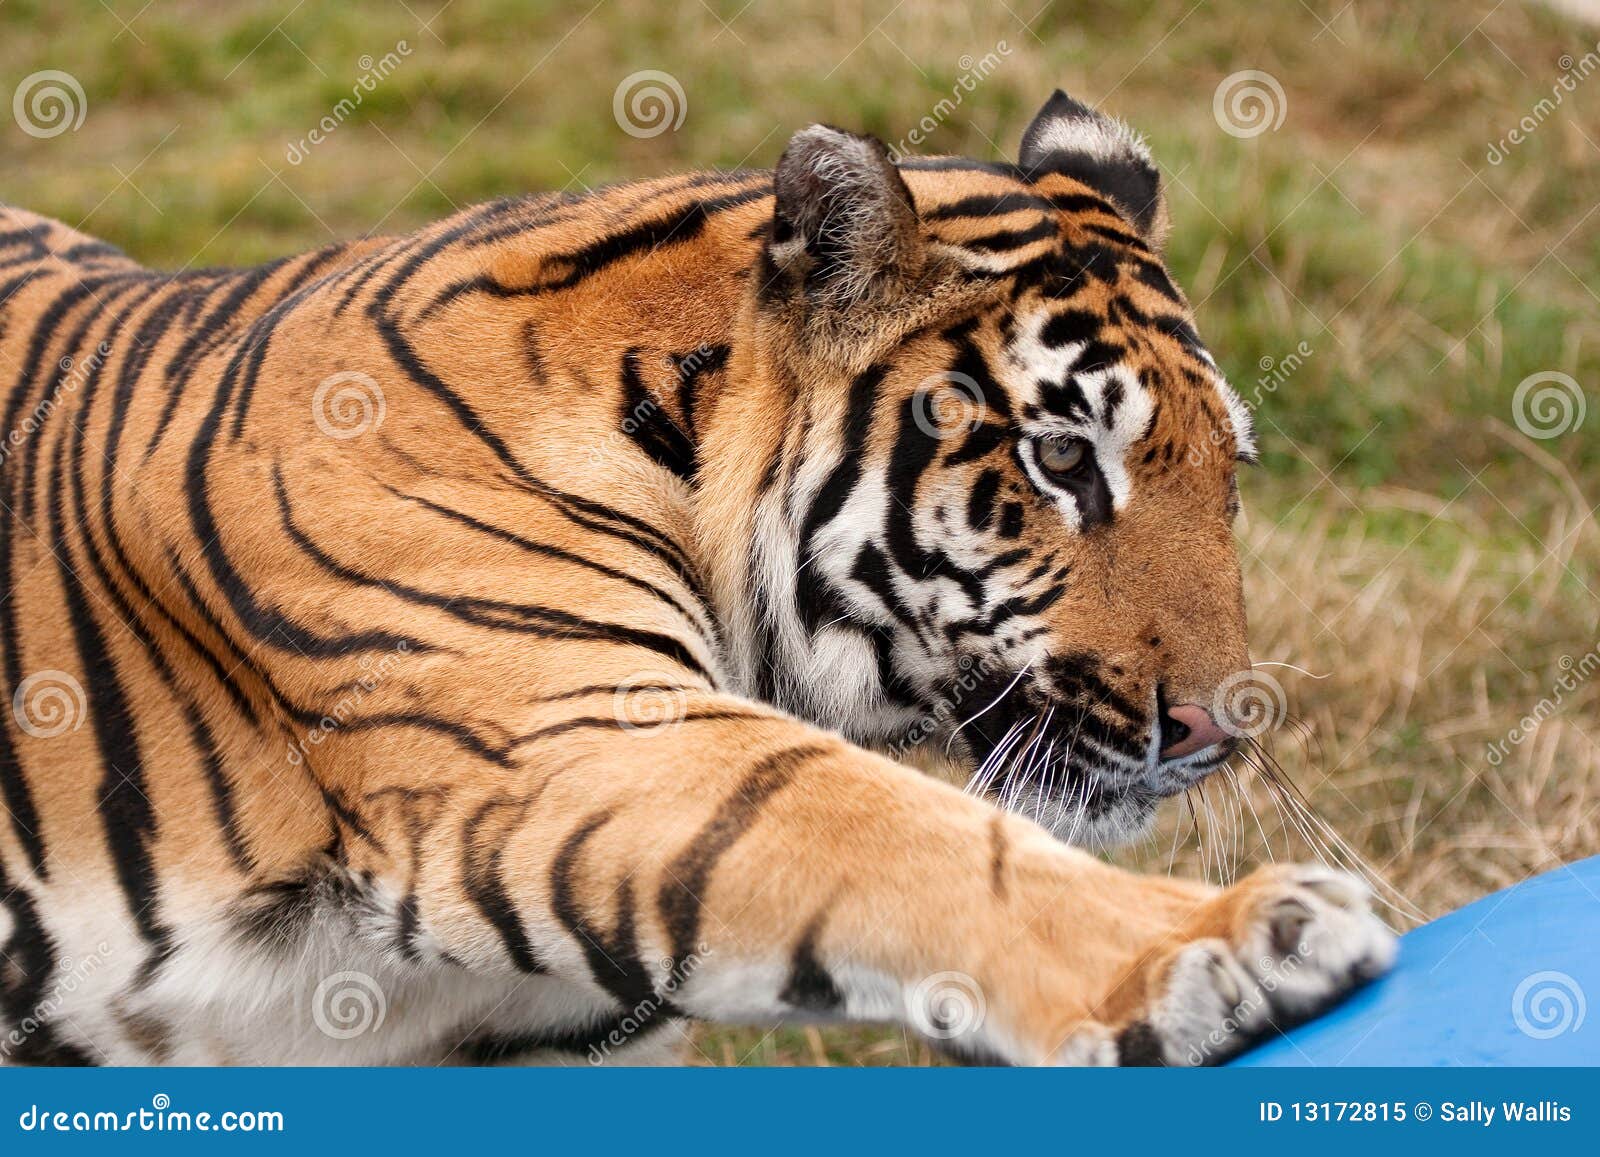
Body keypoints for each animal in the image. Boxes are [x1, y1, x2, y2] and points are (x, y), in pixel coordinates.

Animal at [0, 90, 1394, 1067]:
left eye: (1228, 476)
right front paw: (1222, 946)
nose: (1219, 731)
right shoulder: (571, 732)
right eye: (1061, 456)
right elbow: (901, 831)